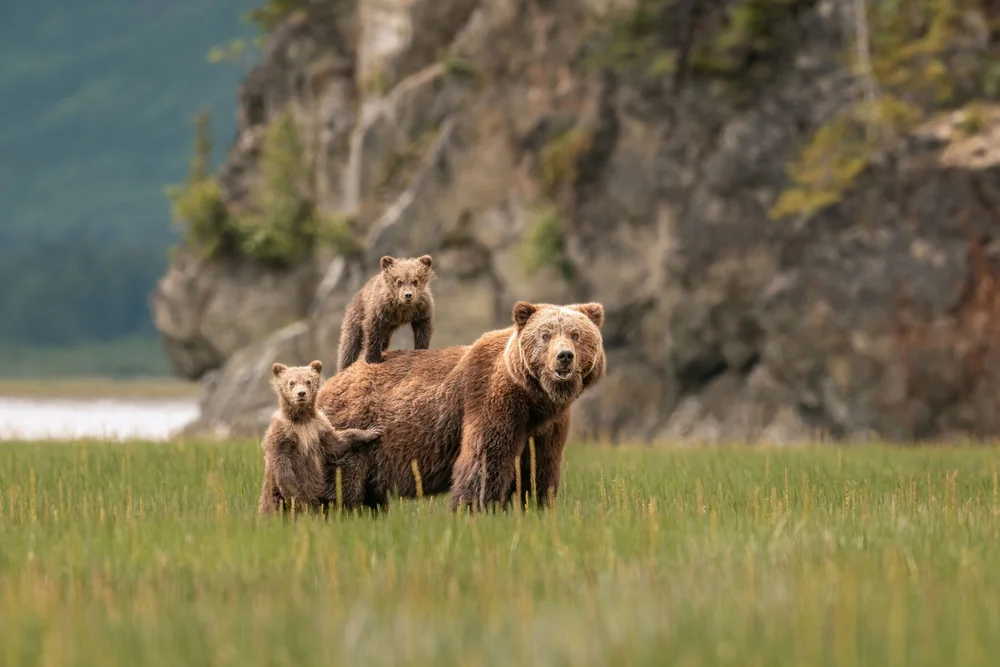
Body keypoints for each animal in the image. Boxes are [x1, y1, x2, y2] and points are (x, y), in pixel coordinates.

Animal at [257, 360, 382, 516]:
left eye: (308, 381)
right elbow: (283, 463)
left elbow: (336, 443)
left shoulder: (318, 428)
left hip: (316, 492)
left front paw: (371, 431)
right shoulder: (282, 433)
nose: (301, 393)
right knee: (271, 505)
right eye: (291, 382)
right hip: (272, 491)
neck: (301, 419)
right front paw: (293, 495)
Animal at [315, 301, 606, 512]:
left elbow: (539, 468)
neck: (534, 398)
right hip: (353, 433)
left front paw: (538, 506)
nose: (564, 356)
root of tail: (329, 382)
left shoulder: (548, 425)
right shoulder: (492, 401)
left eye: (576, 334)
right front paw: (477, 508)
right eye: (545, 335)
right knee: (338, 486)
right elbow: (485, 459)